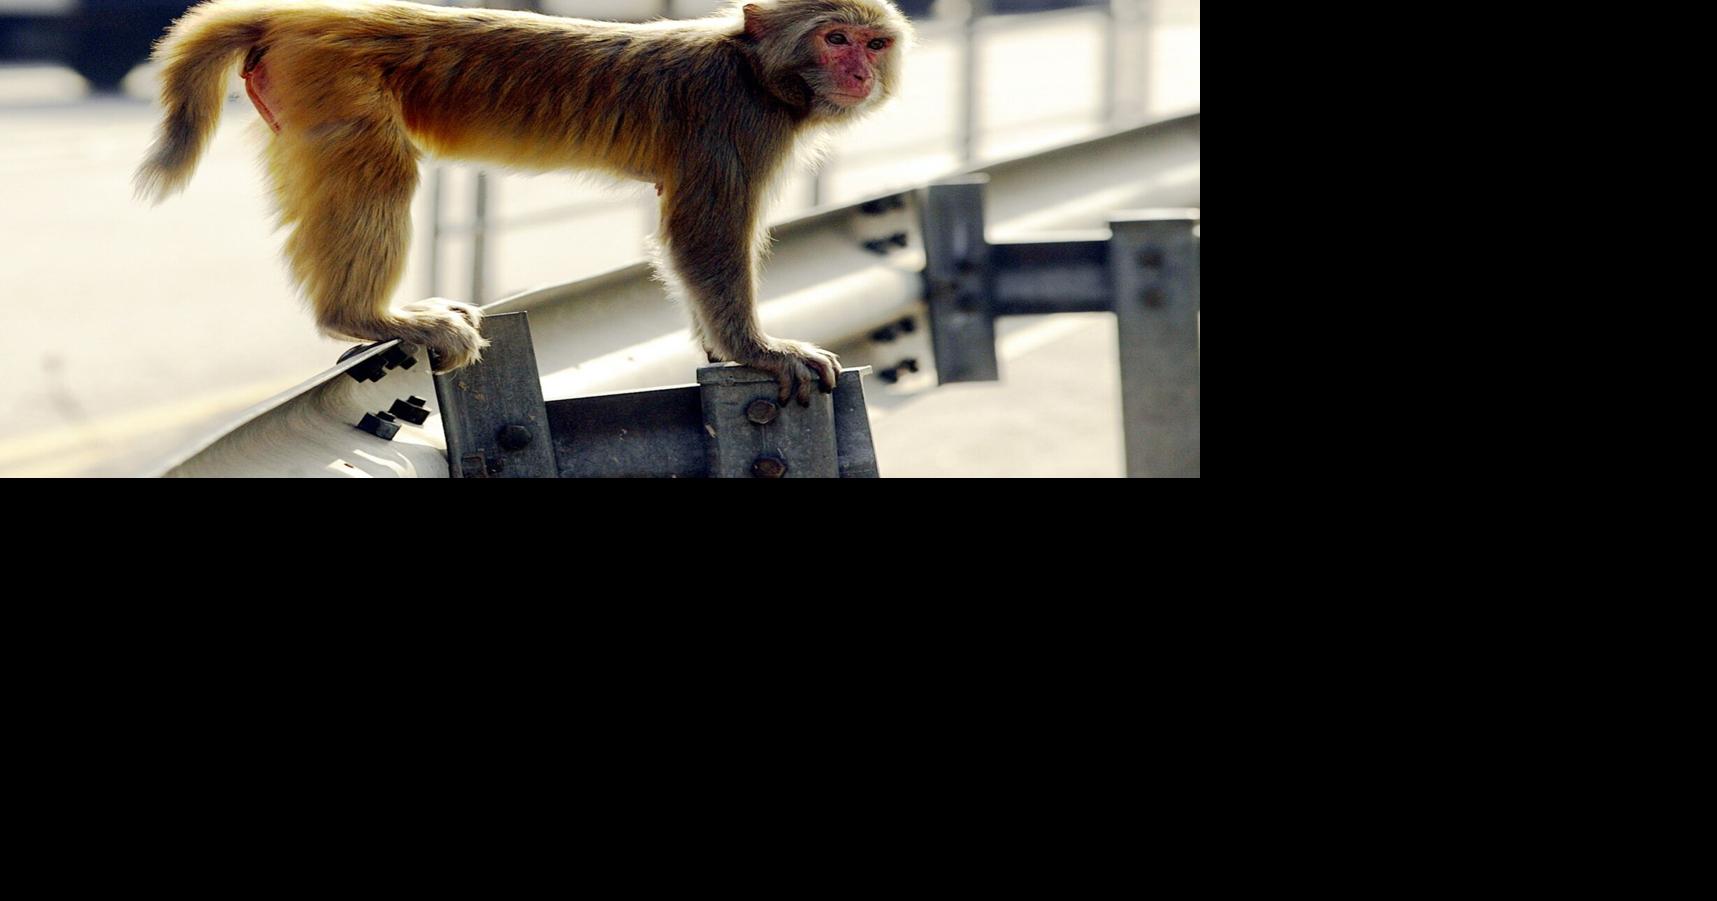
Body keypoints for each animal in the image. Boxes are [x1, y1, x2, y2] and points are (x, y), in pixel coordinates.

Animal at [134, 0, 913, 405]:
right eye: (834, 37)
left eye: (873, 42)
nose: (860, 72)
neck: (755, 70)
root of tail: (295, 12)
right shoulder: (736, 122)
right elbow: (702, 236)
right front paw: (758, 350)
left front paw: (720, 345)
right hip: (335, 78)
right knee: (378, 169)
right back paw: (363, 315)